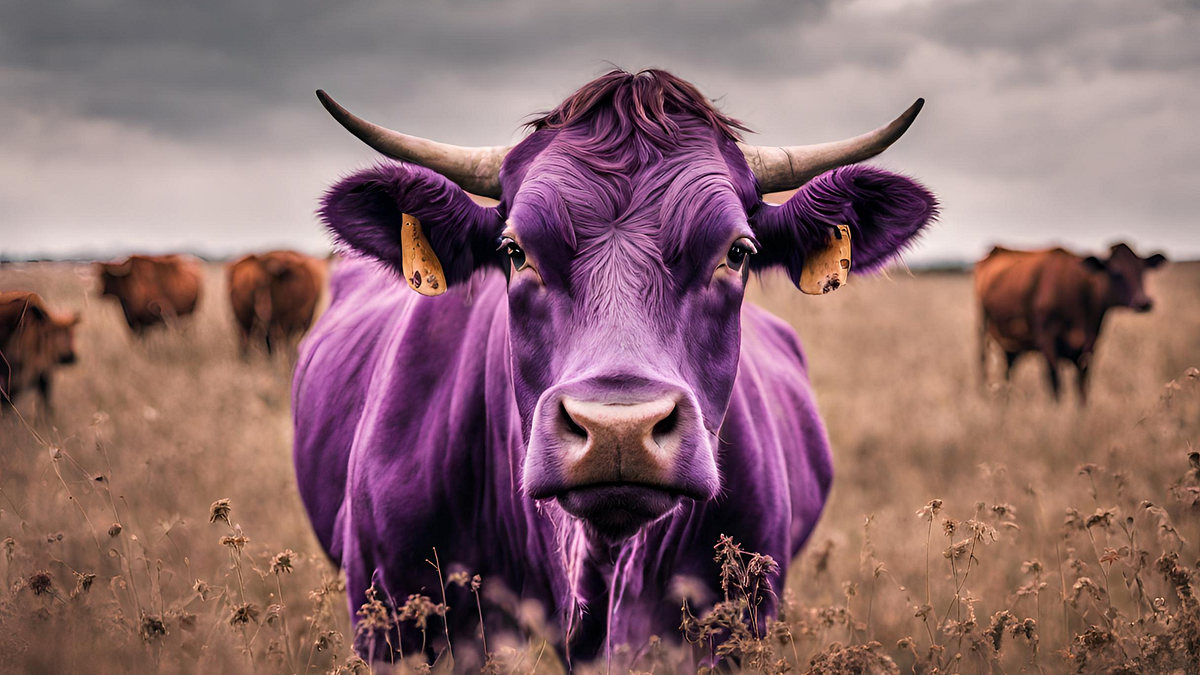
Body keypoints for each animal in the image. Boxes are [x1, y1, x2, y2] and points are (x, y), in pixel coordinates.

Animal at [976, 243, 1167, 402]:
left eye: (1142, 271)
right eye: (1116, 272)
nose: (1144, 302)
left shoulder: (1089, 349)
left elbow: (1082, 390)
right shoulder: (1047, 343)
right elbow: (1056, 387)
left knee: (1009, 369)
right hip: (983, 330)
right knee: (983, 362)